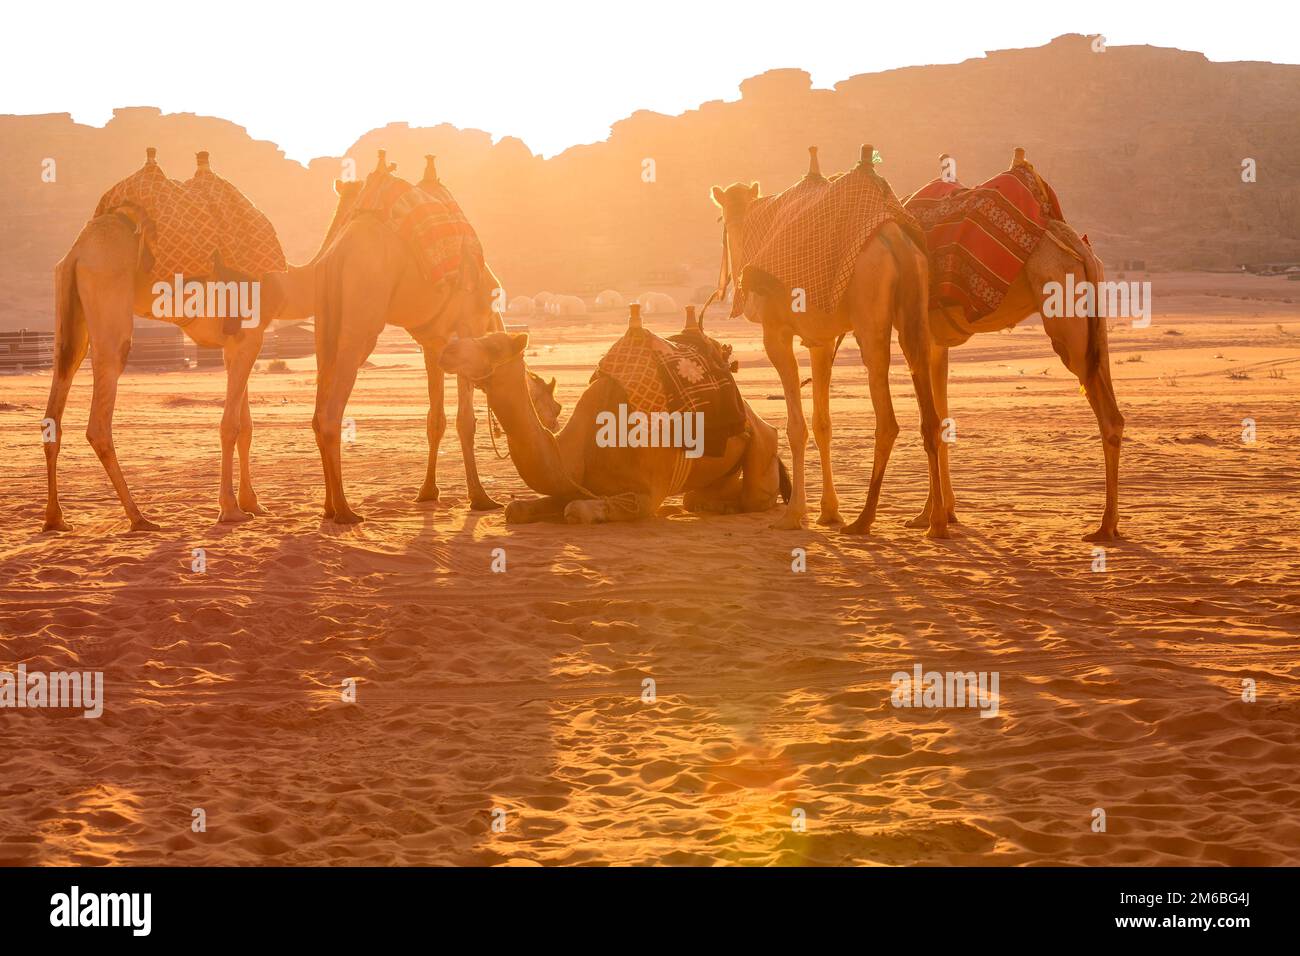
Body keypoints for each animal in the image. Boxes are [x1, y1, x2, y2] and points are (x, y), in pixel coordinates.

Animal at [42, 148, 351, 532]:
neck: (289, 282)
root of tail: (78, 252)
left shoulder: (237, 343)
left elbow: (246, 426)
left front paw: (253, 502)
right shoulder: (249, 339)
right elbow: (231, 426)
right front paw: (231, 510)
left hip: (69, 313)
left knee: (58, 390)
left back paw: (55, 518)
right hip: (108, 299)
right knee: (100, 414)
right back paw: (139, 516)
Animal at [312, 151, 551, 524]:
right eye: (549, 403)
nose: (553, 423)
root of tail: (336, 252)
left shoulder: (432, 345)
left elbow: (435, 420)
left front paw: (427, 492)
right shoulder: (467, 330)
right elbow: (466, 421)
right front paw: (480, 497)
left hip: (324, 324)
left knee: (318, 407)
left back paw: (327, 507)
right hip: (360, 321)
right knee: (330, 413)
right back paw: (345, 510)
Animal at [437, 307, 790, 525]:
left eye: (494, 347)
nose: (447, 351)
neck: (578, 450)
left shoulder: (646, 494)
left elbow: (576, 510)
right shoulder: (575, 485)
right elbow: (517, 508)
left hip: (762, 445)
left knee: (758, 496)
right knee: (695, 497)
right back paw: (717, 505)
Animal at [710, 145, 948, 538]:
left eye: (720, 222)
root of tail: (896, 240)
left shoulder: (777, 334)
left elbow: (796, 427)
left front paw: (794, 515)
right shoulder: (820, 341)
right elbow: (823, 424)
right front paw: (827, 511)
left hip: (870, 317)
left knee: (887, 417)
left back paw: (865, 518)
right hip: (915, 311)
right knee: (929, 414)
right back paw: (935, 522)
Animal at [902, 148, 1124, 542]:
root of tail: (1079, 247)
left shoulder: (916, 336)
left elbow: (930, 422)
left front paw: (933, 521)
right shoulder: (936, 343)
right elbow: (941, 418)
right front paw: (940, 513)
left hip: (1068, 326)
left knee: (1106, 413)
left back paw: (1103, 526)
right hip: (1096, 326)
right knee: (1113, 412)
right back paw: (1109, 525)